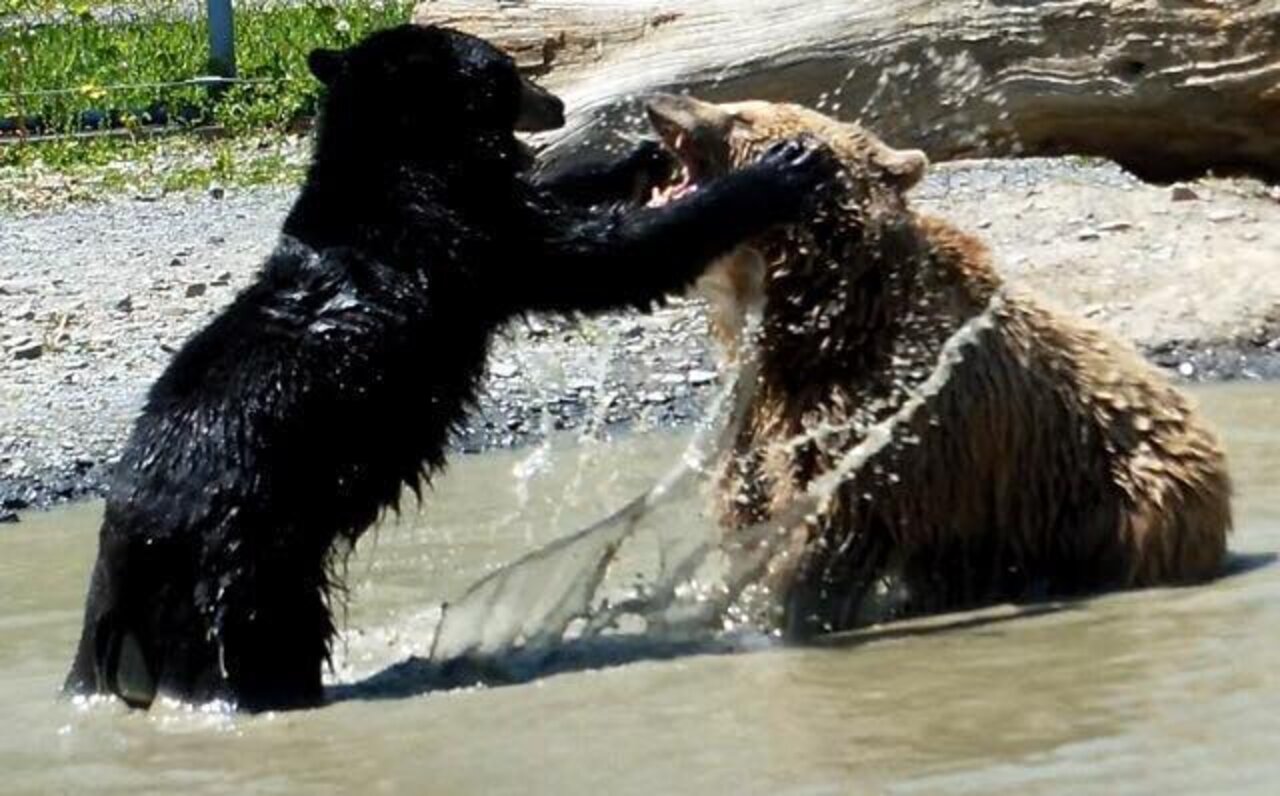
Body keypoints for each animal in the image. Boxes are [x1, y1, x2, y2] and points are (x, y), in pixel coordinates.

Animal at [63, 26, 838, 711]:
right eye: (508, 72)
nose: (556, 101)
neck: (401, 160)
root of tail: (123, 558)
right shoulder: (459, 240)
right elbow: (599, 256)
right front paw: (779, 172)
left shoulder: (472, 209)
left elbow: (551, 197)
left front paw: (638, 159)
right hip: (243, 572)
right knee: (263, 647)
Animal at [643, 94, 1232, 638]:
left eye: (741, 114)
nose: (659, 103)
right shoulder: (764, 414)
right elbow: (750, 504)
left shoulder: (881, 412)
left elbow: (829, 527)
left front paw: (782, 613)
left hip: (1123, 498)